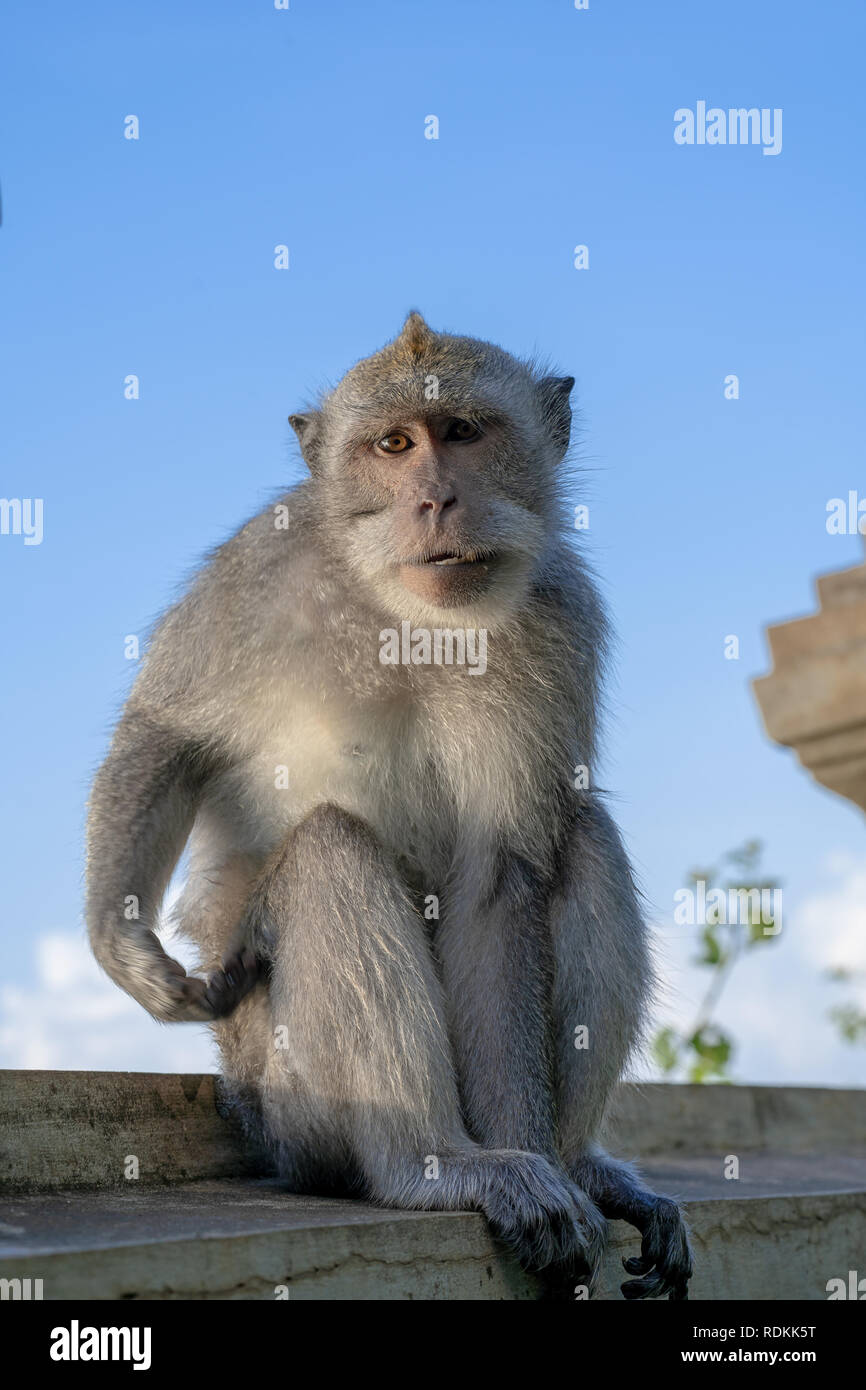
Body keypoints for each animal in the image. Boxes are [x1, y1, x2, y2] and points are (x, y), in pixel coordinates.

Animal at [86, 312, 693, 1299]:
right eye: (394, 446)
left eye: (463, 433)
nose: (436, 500)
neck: (408, 613)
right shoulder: (257, 569)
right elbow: (165, 733)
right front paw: (124, 943)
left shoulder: (561, 615)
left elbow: (500, 882)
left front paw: (543, 1168)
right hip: (285, 1100)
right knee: (331, 848)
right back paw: (432, 1165)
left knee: (583, 833)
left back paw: (572, 1166)